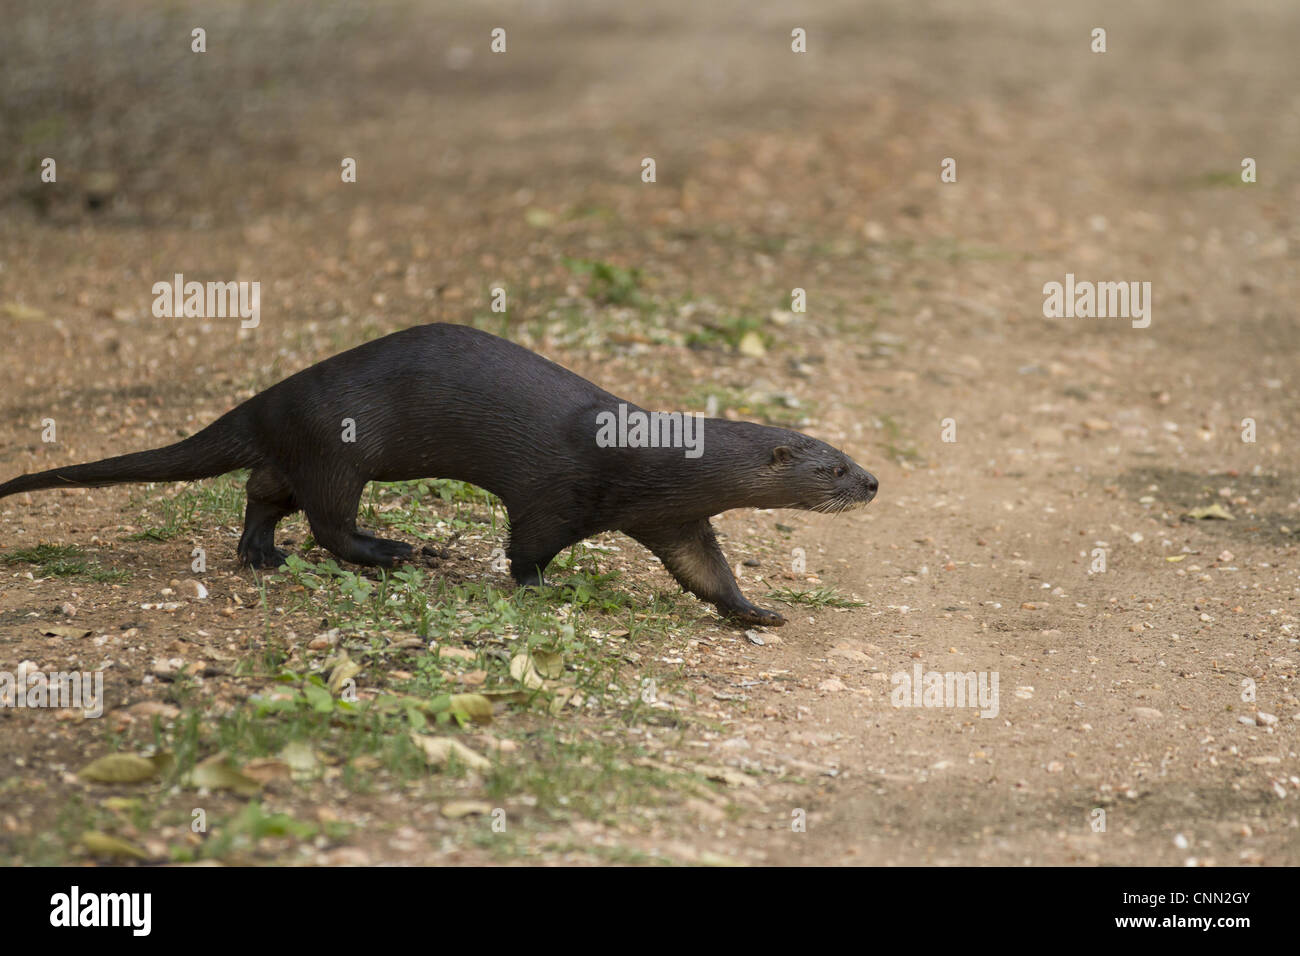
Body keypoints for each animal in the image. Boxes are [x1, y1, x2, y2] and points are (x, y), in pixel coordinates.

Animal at [0, 323, 877, 626]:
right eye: (833, 467)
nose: (872, 484)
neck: (650, 456)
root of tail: (270, 399)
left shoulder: (673, 518)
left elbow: (705, 573)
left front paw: (758, 610)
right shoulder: (556, 493)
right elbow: (528, 545)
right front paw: (537, 586)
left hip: (298, 452)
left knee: (263, 495)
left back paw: (260, 554)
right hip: (339, 448)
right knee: (330, 521)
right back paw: (397, 553)